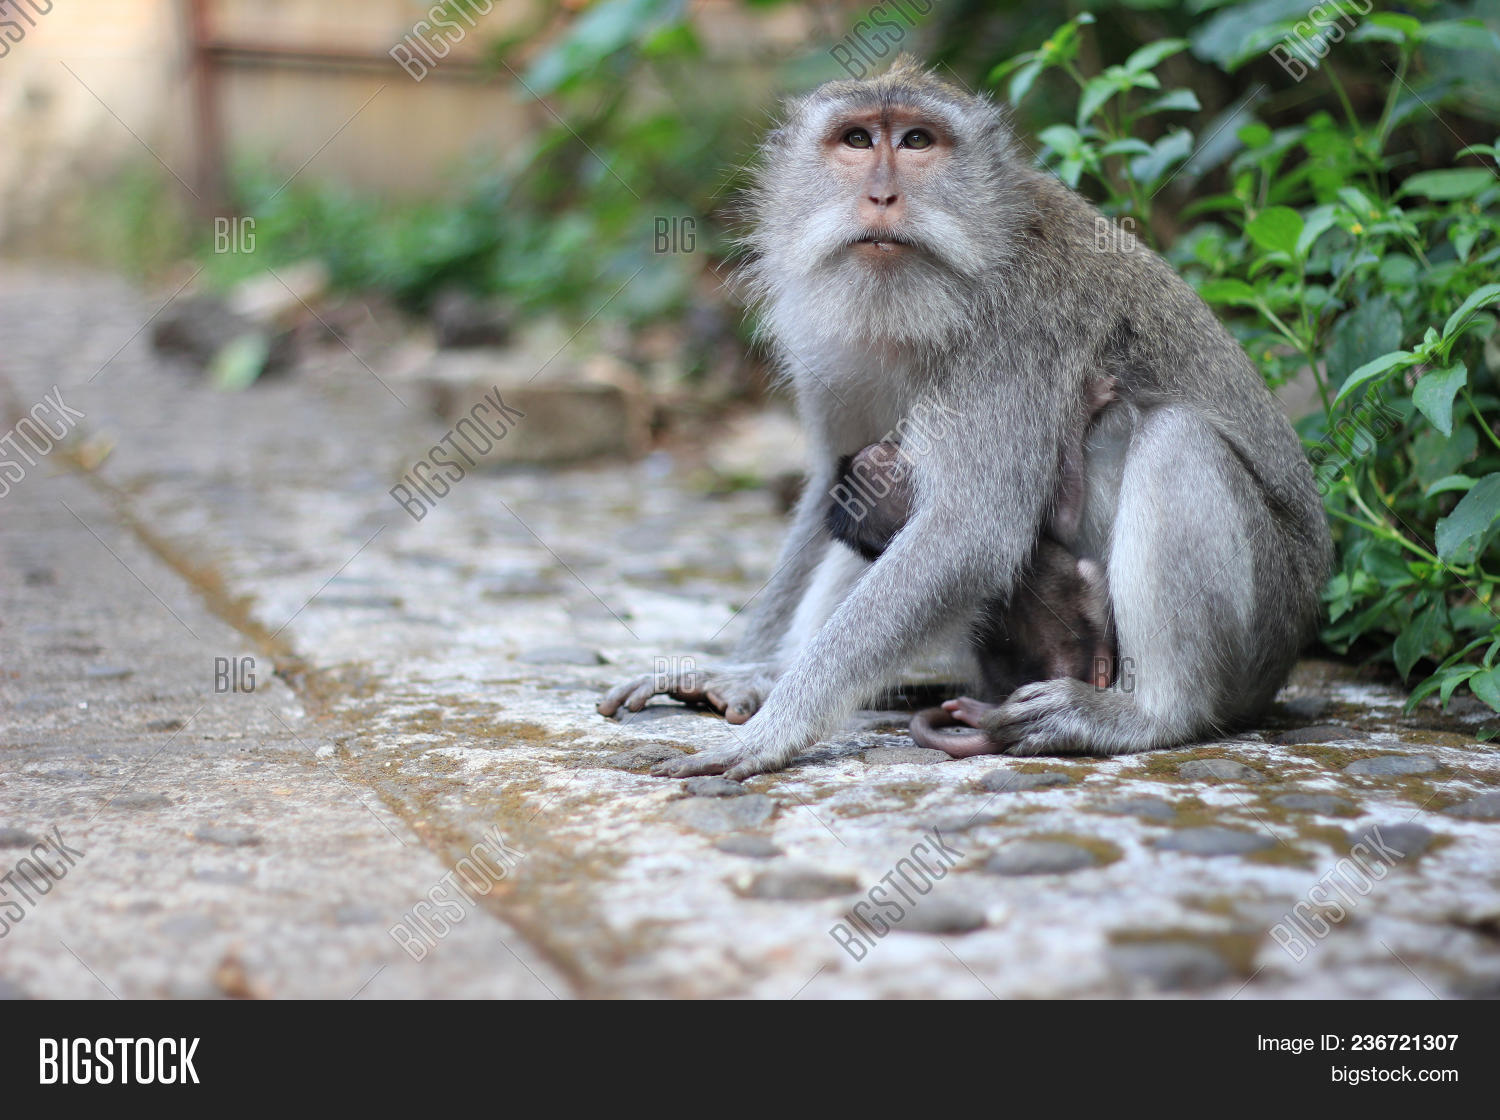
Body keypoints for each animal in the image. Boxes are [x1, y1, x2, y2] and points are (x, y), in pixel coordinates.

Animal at [597, 55, 1332, 779]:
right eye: (857, 140)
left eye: (917, 141)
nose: (882, 196)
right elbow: (834, 486)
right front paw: (747, 671)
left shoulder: (1018, 328)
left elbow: (967, 532)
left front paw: (776, 727)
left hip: (1266, 626)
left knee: (1177, 440)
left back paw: (1151, 715)